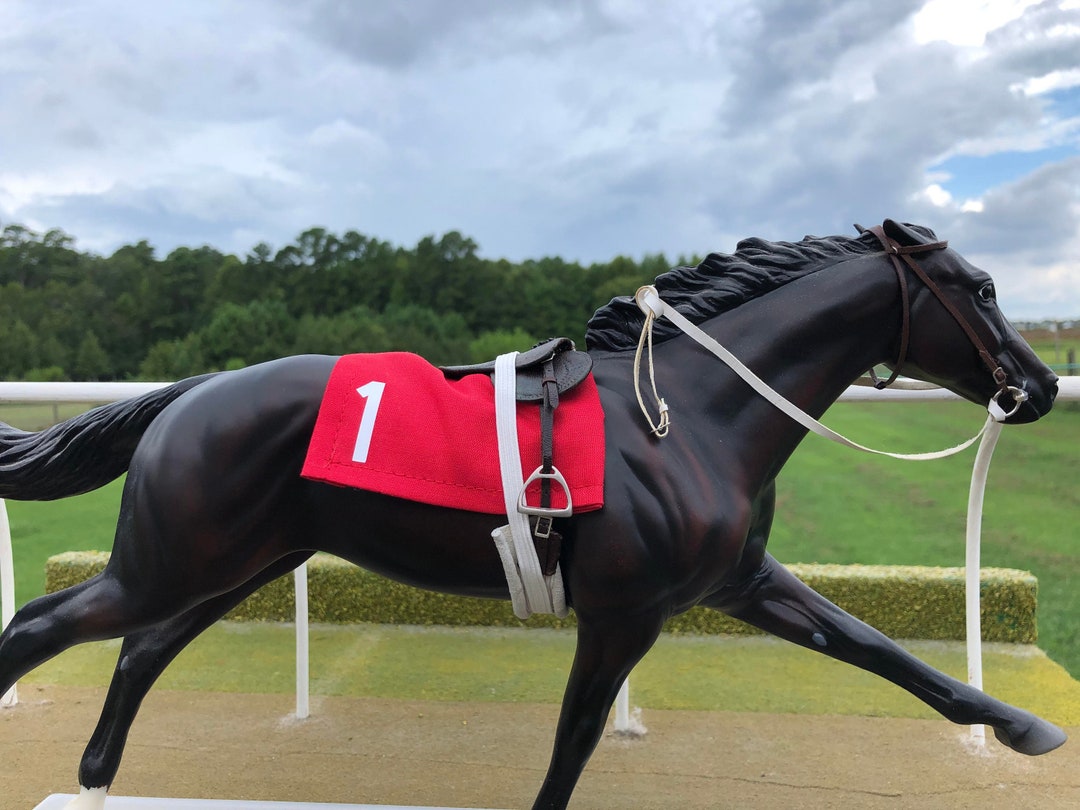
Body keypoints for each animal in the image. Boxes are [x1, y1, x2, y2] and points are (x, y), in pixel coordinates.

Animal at [0, 219, 1064, 810]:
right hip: (170, 560)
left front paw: (1024, 729)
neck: (690, 413)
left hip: (236, 561)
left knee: (138, 650)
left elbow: (879, 649)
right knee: (38, 627)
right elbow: (575, 740)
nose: (1044, 384)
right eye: (981, 288)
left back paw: (96, 776)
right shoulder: (625, 613)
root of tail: (192, 394)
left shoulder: (737, 580)